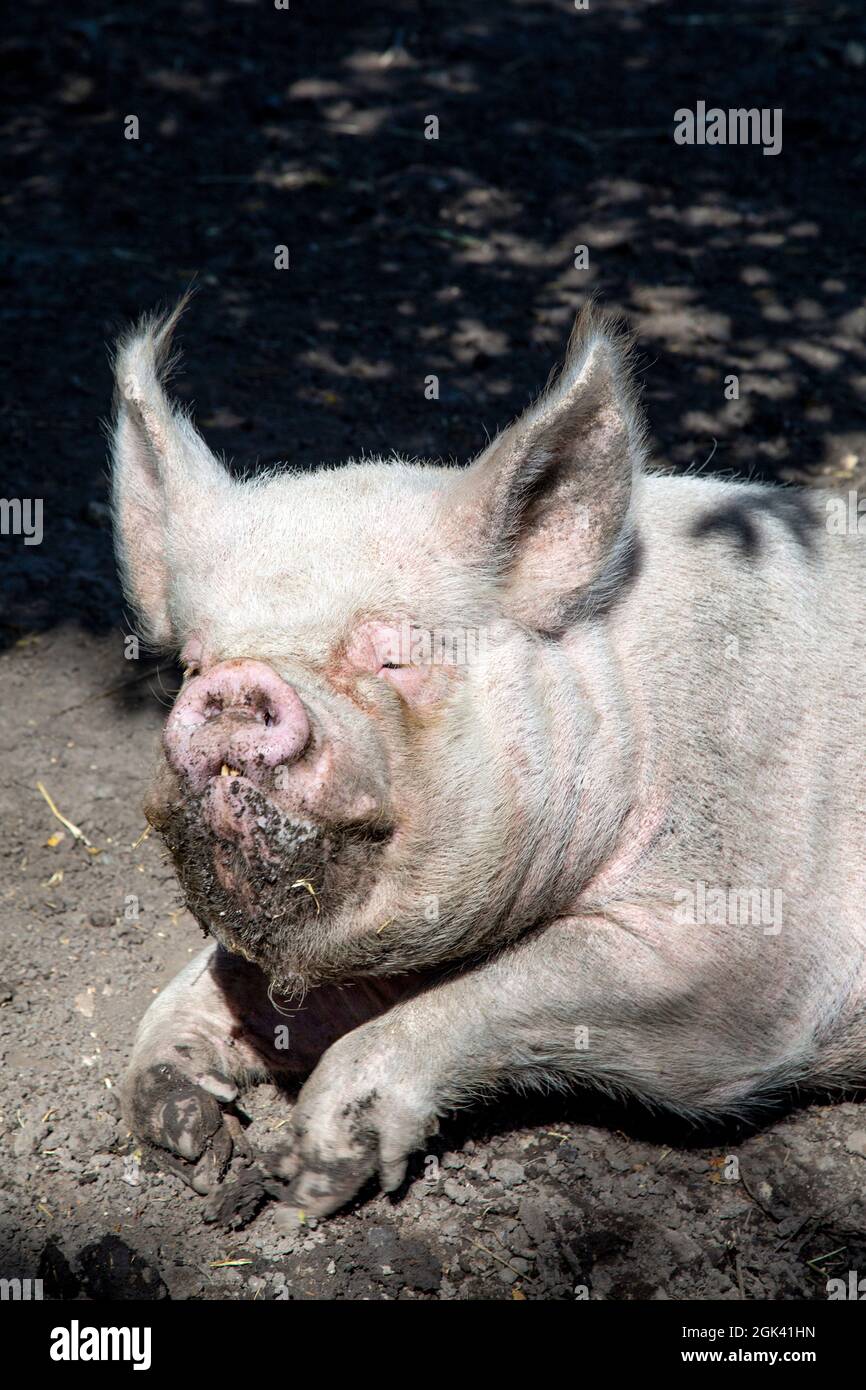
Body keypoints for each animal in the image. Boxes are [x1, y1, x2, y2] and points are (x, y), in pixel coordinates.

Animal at [112, 297, 866, 1219]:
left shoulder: (751, 954)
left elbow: (515, 987)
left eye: (395, 655)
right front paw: (194, 1139)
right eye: (191, 663)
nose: (231, 689)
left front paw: (304, 1177)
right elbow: (213, 990)